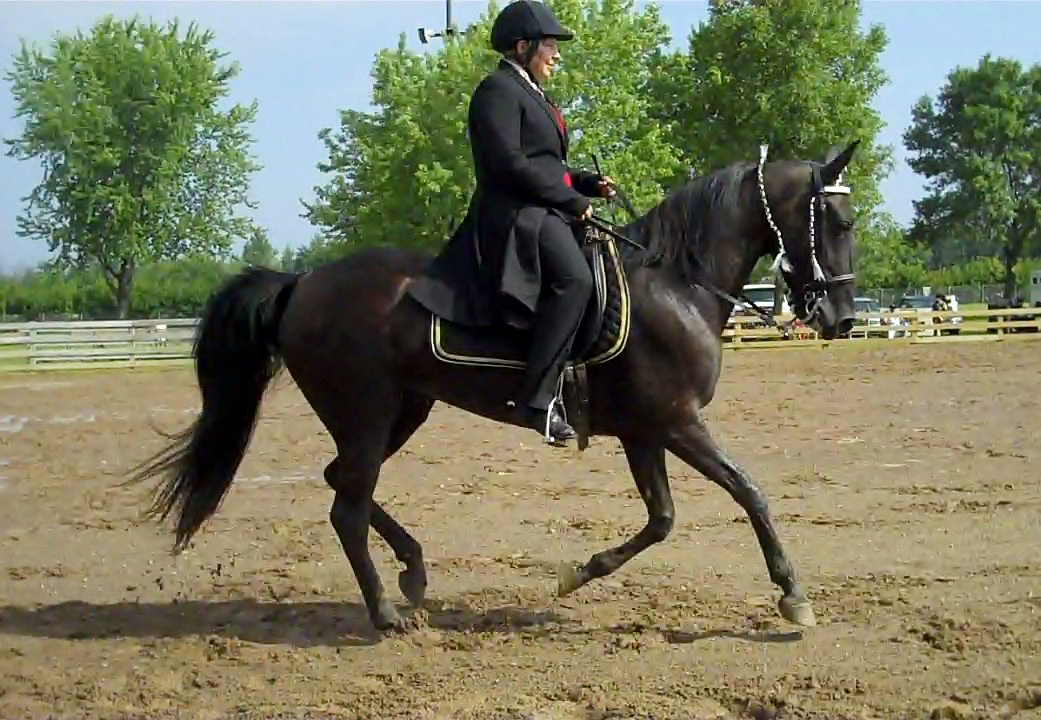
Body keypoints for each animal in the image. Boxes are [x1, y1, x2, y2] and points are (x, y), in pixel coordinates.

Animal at [129, 141, 861, 633]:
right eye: (841, 223)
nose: (842, 318)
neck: (675, 283)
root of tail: (302, 282)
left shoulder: (646, 429)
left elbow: (661, 519)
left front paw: (575, 575)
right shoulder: (677, 422)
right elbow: (748, 492)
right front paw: (792, 595)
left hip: (403, 411)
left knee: (342, 485)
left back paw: (413, 570)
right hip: (367, 412)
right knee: (347, 507)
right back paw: (387, 613)